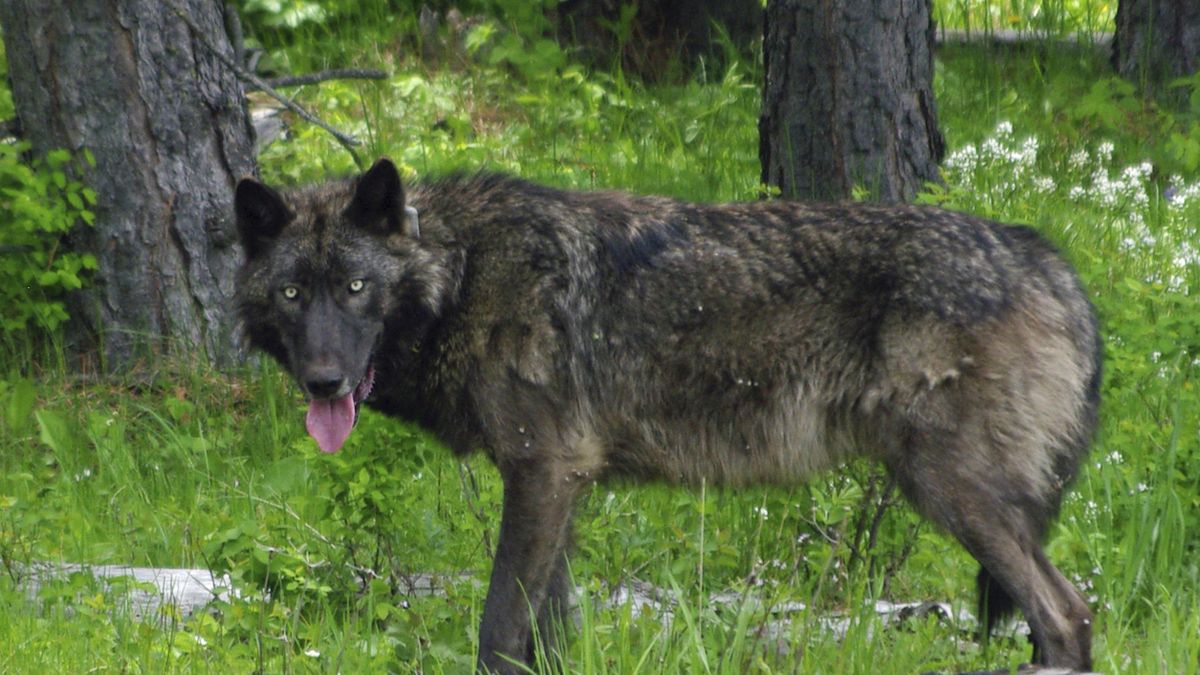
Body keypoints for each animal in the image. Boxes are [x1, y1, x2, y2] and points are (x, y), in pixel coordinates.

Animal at [233, 158, 1100, 673]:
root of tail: (1047, 258)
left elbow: (499, 628)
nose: (323, 381)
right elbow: (548, 630)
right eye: (292, 293)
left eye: (355, 288)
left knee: (1067, 615)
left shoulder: (542, 472)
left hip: (950, 492)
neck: (466, 275)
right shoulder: (561, 482)